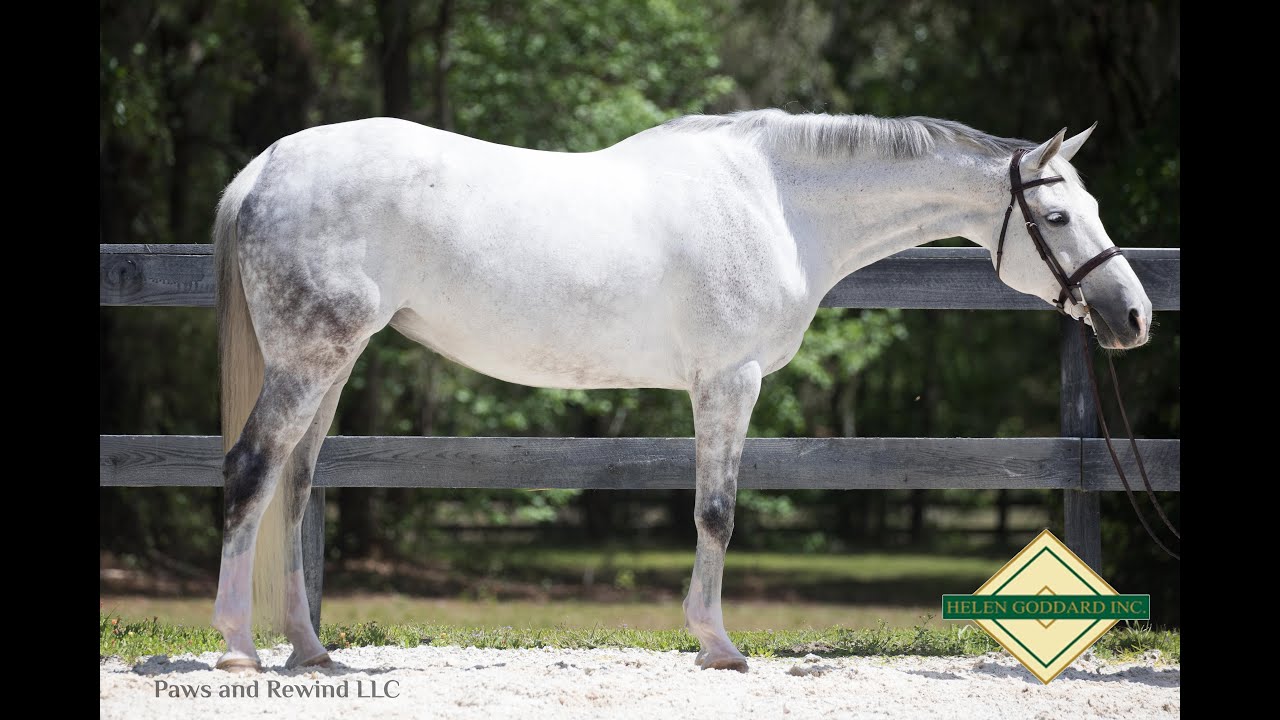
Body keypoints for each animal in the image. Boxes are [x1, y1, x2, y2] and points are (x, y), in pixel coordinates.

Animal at [209, 109, 1151, 673]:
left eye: (1096, 208)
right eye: (1057, 219)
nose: (1133, 315)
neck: (777, 205)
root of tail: (263, 168)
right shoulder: (727, 381)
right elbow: (716, 513)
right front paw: (717, 644)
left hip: (334, 364)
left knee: (295, 484)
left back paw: (309, 648)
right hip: (309, 359)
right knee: (251, 472)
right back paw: (238, 648)